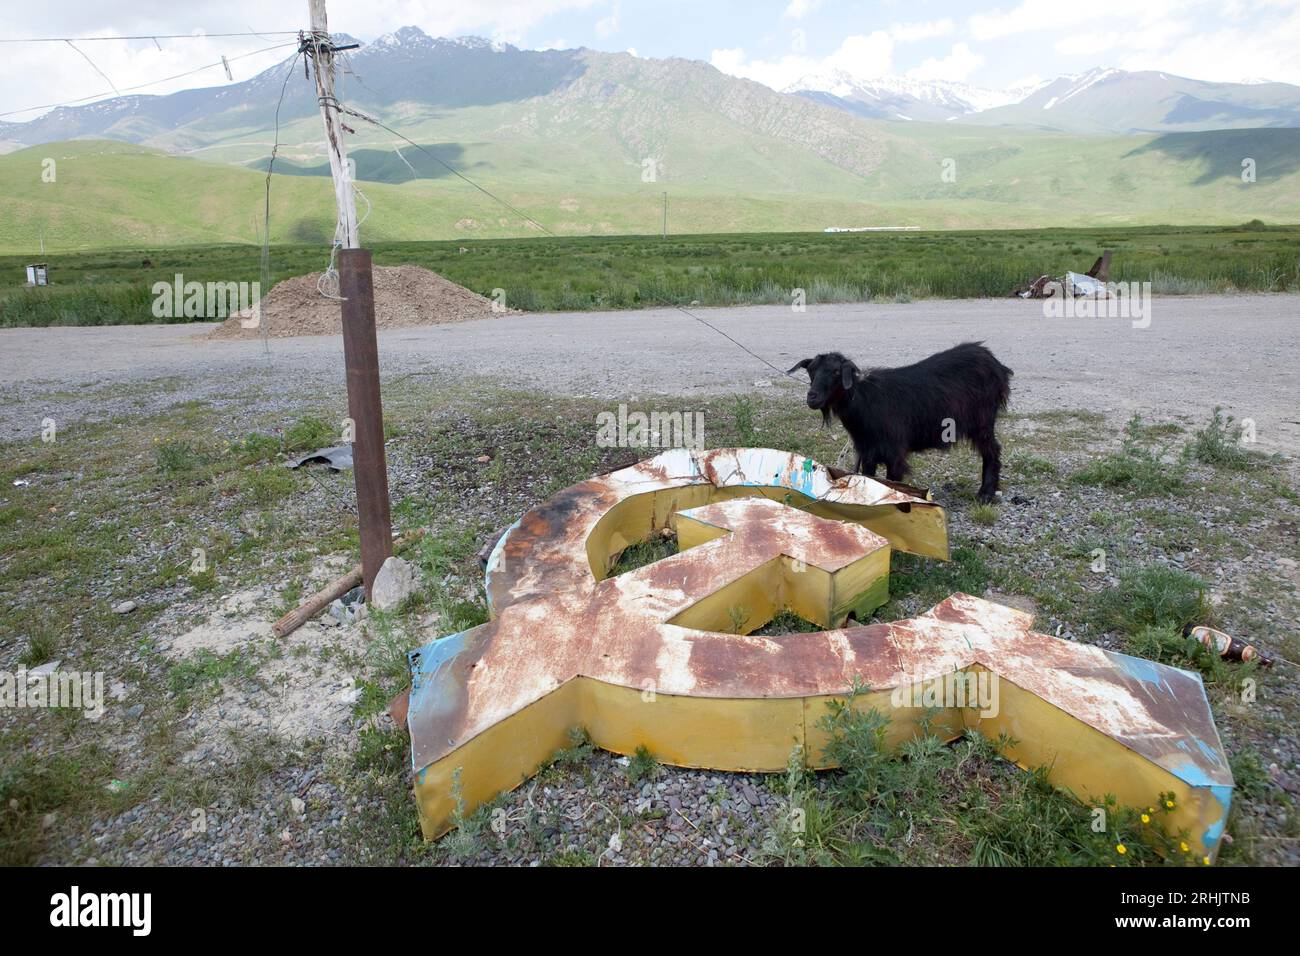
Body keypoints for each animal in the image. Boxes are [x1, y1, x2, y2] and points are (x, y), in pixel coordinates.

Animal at [788, 342, 1013, 503]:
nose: (812, 397)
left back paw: (986, 494)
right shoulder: (867, 454)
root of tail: (996, 364)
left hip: (983, 421)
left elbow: (894, 484)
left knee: (992, 450)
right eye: (811, 371)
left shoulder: (894, 454)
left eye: (836, 372)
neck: (864, 402)